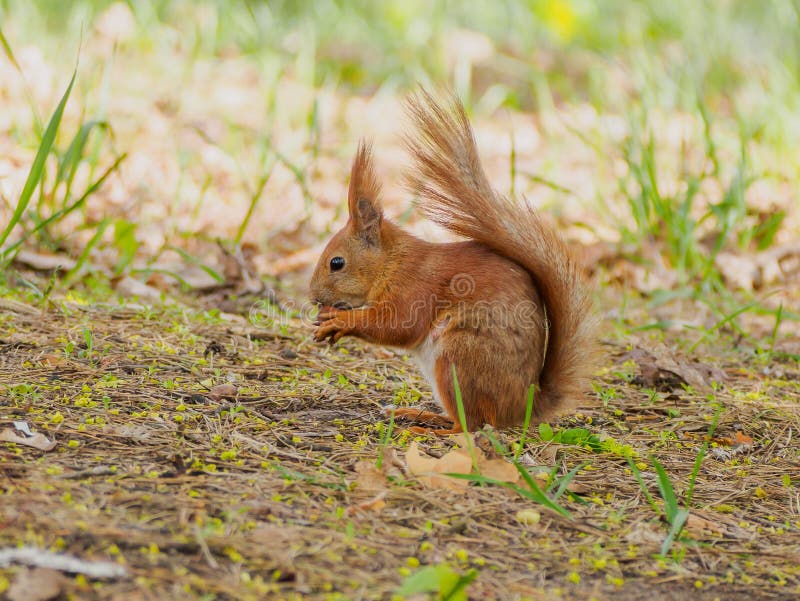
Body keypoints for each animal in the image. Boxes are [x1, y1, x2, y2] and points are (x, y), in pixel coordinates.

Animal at [310, 91, 597, 434]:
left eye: (336, 263)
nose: (313, 297)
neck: (392, 263)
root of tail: (522, 407)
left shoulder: (416, 288)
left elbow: (397, 326)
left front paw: (341, 321)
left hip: (458, 359)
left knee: (470, 425)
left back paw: (425, 429)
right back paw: (419, 414)